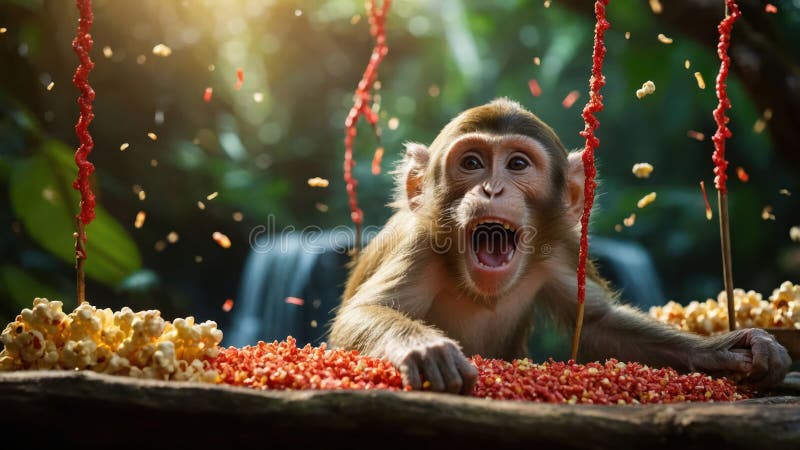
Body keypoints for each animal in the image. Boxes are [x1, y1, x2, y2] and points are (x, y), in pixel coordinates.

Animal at [329, 98, 791, 394]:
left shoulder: (562, 251)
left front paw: (729, 348)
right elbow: (361, 314)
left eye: (517, 164)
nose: (492, 189)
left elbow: (600, 322)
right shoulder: (420, 245)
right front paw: (424, 348)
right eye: (472, 163)